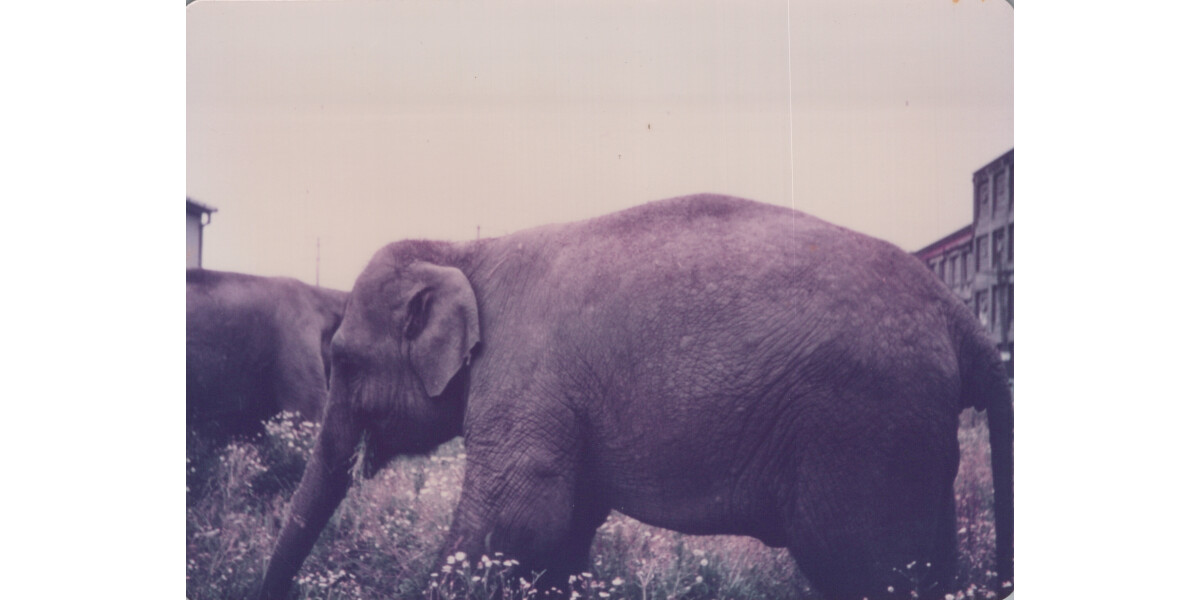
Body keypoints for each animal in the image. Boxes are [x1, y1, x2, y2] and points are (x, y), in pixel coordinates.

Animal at [258, 194, 1013, 600]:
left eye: (343, 360)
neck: (465, 251)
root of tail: (961, 319)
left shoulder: (526, 383)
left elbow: (520, 521)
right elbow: (563, 531)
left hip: (867, 432)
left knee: (871, 569)